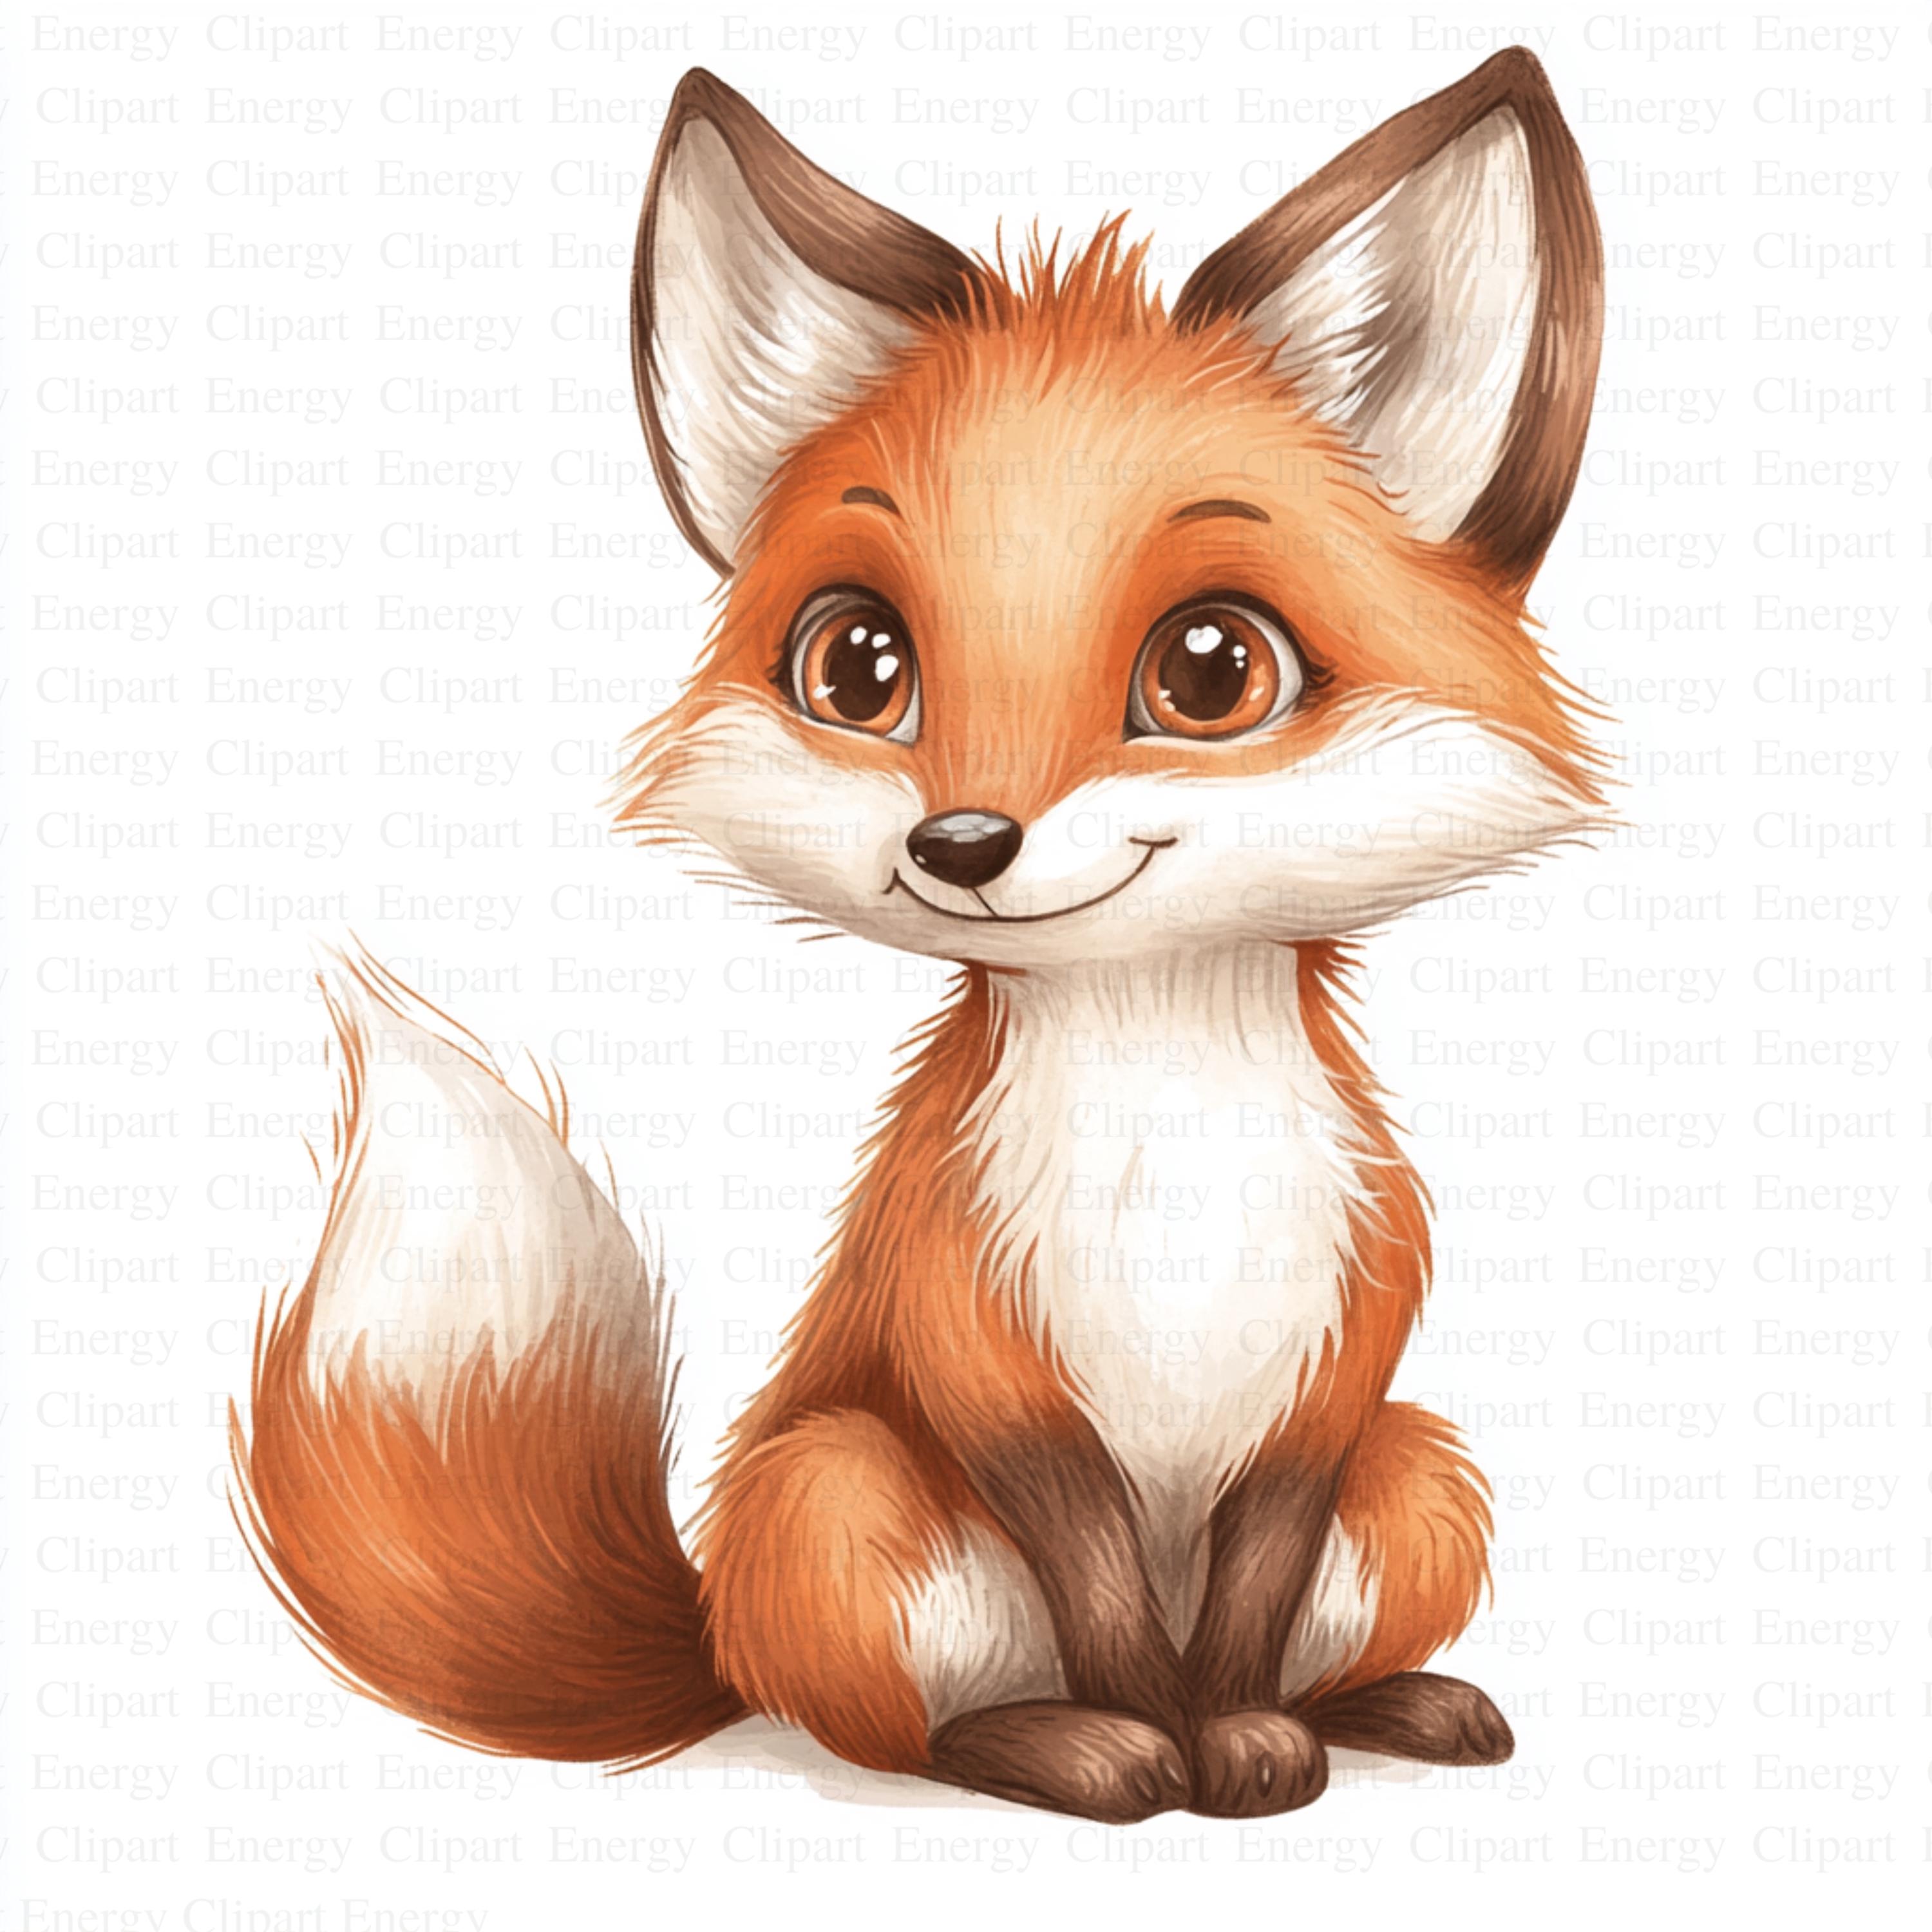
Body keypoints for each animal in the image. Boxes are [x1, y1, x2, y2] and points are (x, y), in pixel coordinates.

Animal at [233, 50, 1606, 1825]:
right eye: (860, 666)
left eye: (1212, 669)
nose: (961, 845)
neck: (1162, 1141)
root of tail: (718, 1636)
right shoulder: (967, 1323)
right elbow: (1096, 1575)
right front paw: (1163, 1739)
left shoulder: (1341, 1354)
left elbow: (1250, 1591)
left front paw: (1241, 1741)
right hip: (840, 1493)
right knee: (910, 1731)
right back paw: (1073, 1745)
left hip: (1422, 1470)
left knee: (1318, 1633)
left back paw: (1387, 1706)